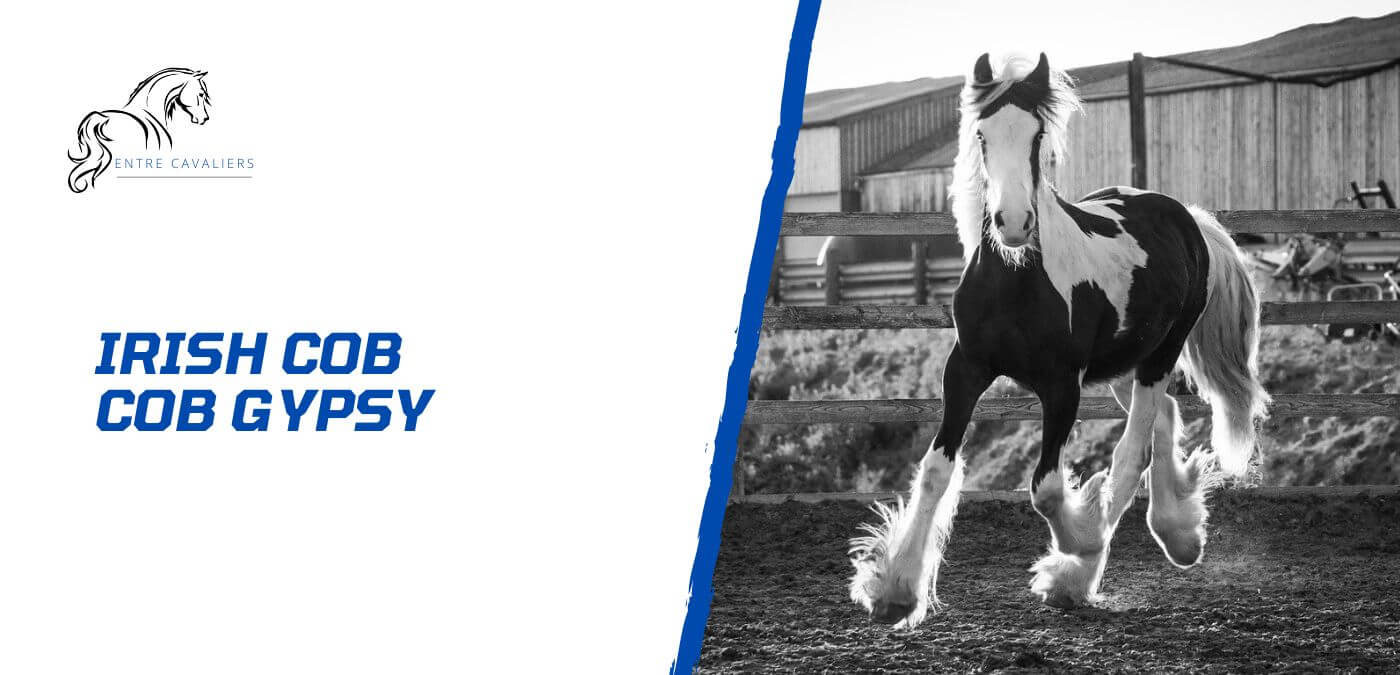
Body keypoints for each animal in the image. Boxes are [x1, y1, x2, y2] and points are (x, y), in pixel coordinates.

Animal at [847, 53, 1270, 627]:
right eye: (981, 135)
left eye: (1037, 135)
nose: (1012, 223)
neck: (1016, 280)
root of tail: (1186, 217)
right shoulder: (965, 370)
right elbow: (936, 471)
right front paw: (894, 590)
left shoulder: (1061, 386)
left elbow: (1046, 490)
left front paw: (1083, 538)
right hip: (1123, 365)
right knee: (1161, 421)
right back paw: (1178, 534)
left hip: (1159, 354)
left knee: (1133, 451)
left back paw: (1083, 572)